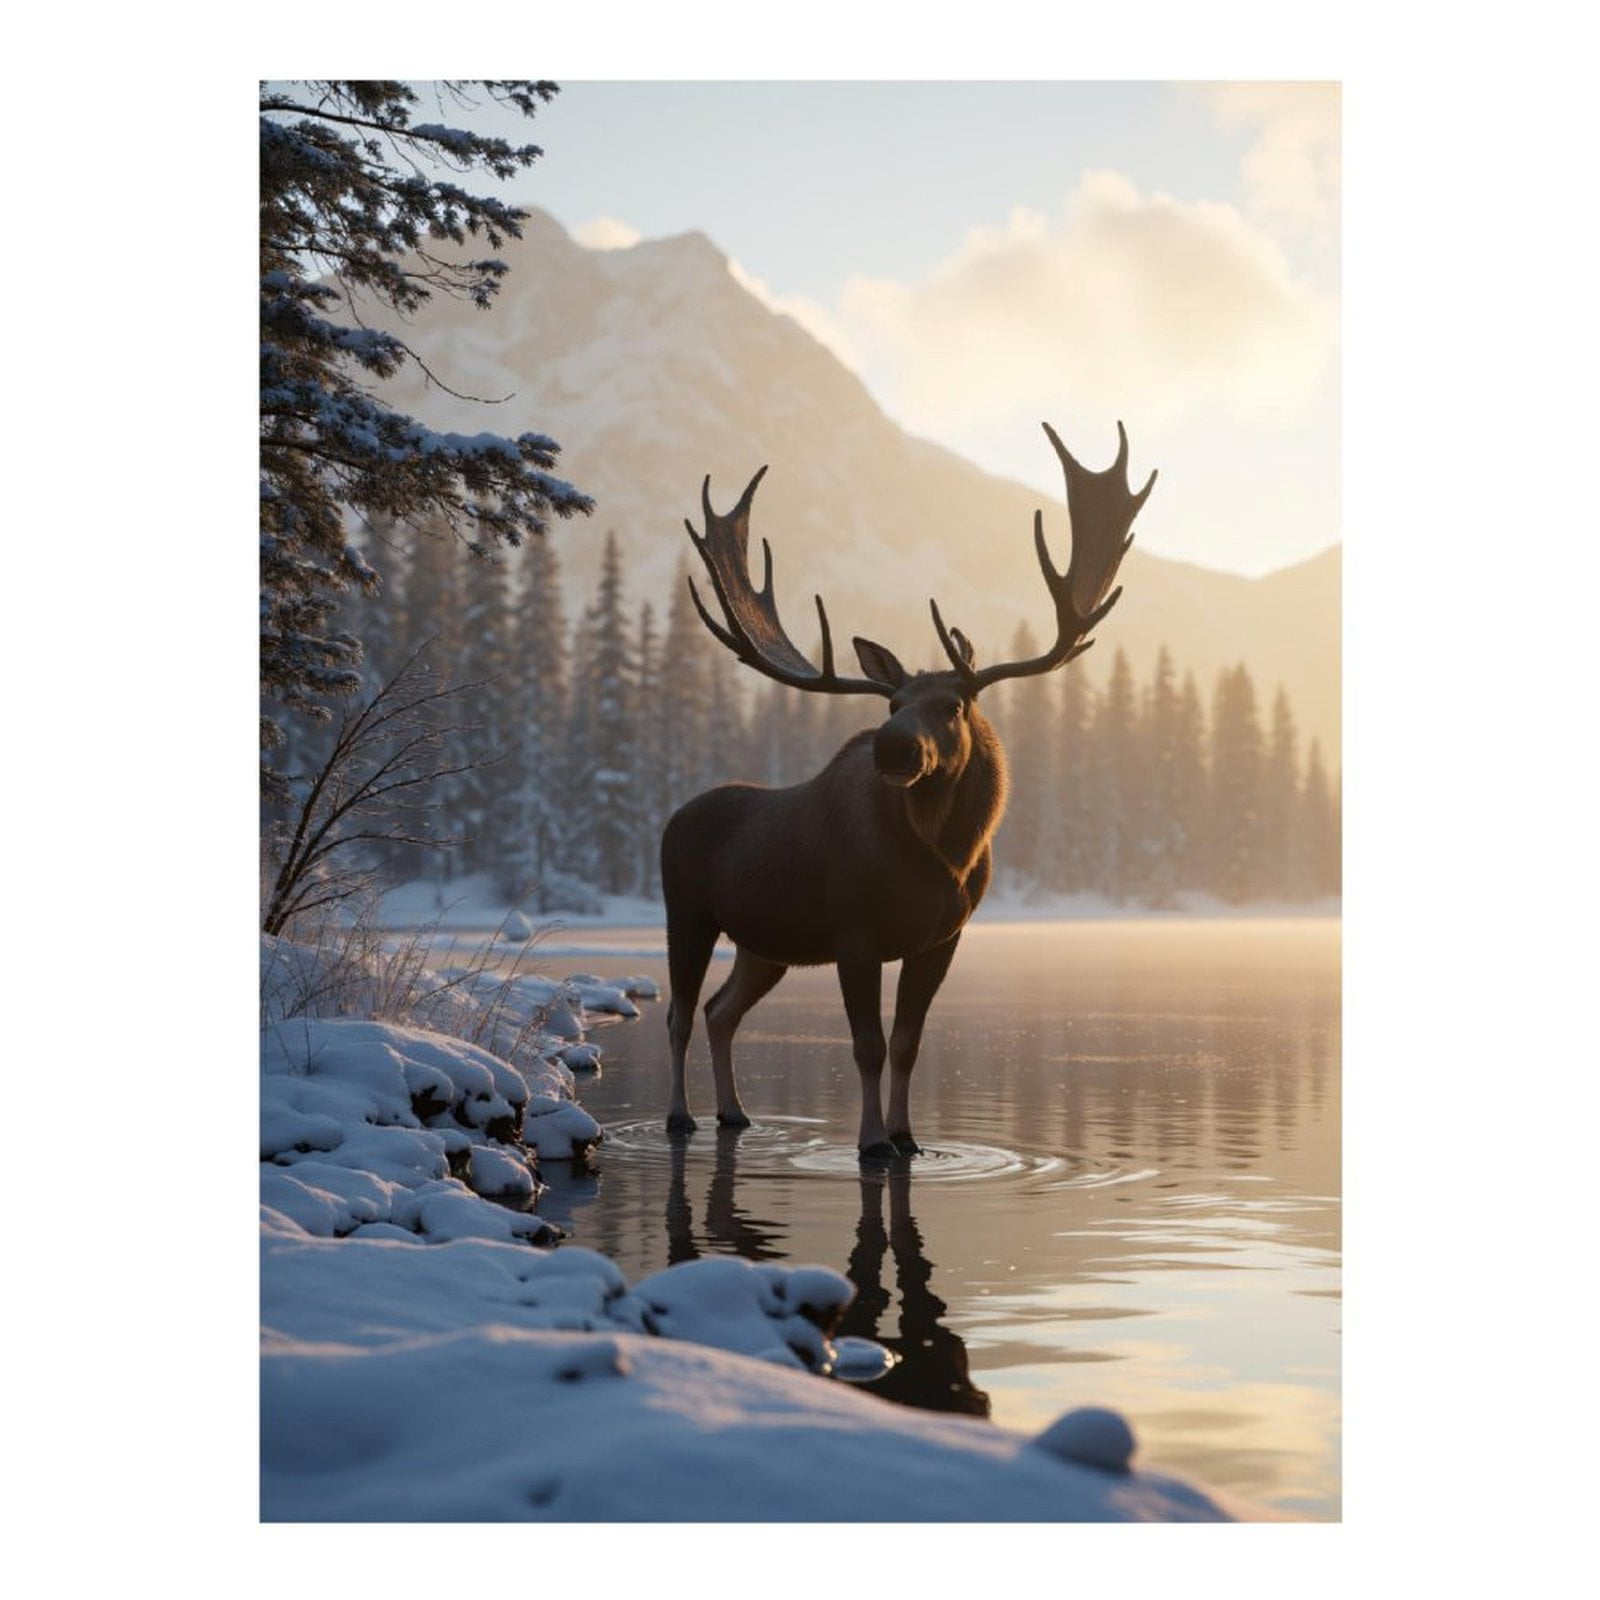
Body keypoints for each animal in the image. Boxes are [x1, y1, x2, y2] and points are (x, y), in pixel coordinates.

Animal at [660, 422, 1155, 1158]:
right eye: (892, 701)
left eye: (953, 704)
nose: (893, 745)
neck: (944, 854)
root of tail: (668, 820)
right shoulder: (855, 932)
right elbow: (866, 1046)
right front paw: (871, 1141)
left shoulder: (942, 939)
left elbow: (908, 1043)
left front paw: (908, 1137)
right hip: (687, 913)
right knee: (680, 1013)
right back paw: (679, 1116)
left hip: (765, 944)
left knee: (723, 1011)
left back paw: (735, 1112)